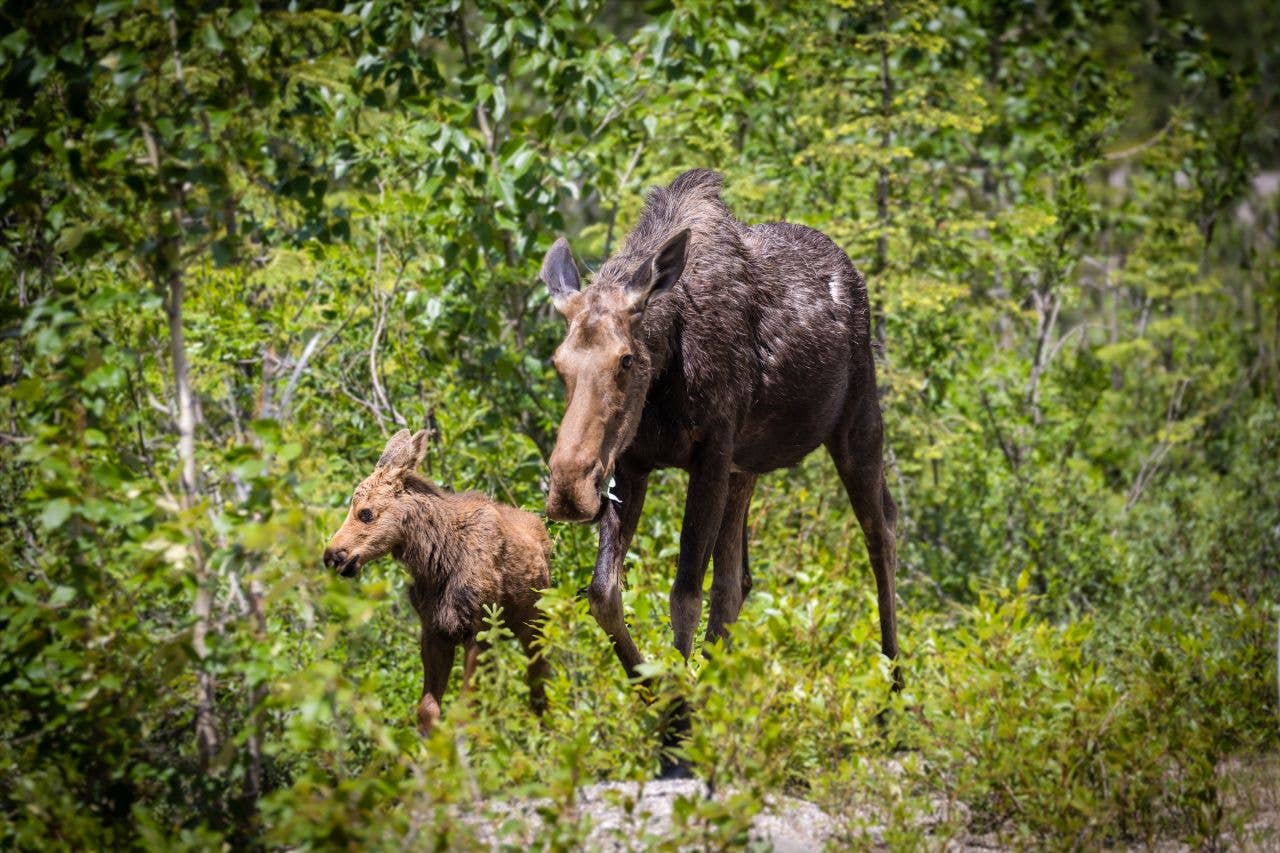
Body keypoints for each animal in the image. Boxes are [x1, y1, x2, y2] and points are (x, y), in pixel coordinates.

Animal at [322, 428, 551, 734]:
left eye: (365, 513)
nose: (332, 555)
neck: (436, 560)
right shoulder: (434, 630)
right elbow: (428, 712)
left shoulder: (478, 626)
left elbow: (464, 713)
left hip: (533, 622)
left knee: (539, 683)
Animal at [539, 169, 899, 755]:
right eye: (558, 362)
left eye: (626, 359)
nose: (570, 488)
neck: (666, 367)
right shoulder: (634, 464)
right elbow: (604, 593)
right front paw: (664, 696)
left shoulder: (709, 454)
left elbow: (684, 592)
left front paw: (679, 722)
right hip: (745, 465)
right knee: (736, 579)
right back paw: (719, 690)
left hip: (856, 422)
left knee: (881, 532)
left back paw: (892, 699)